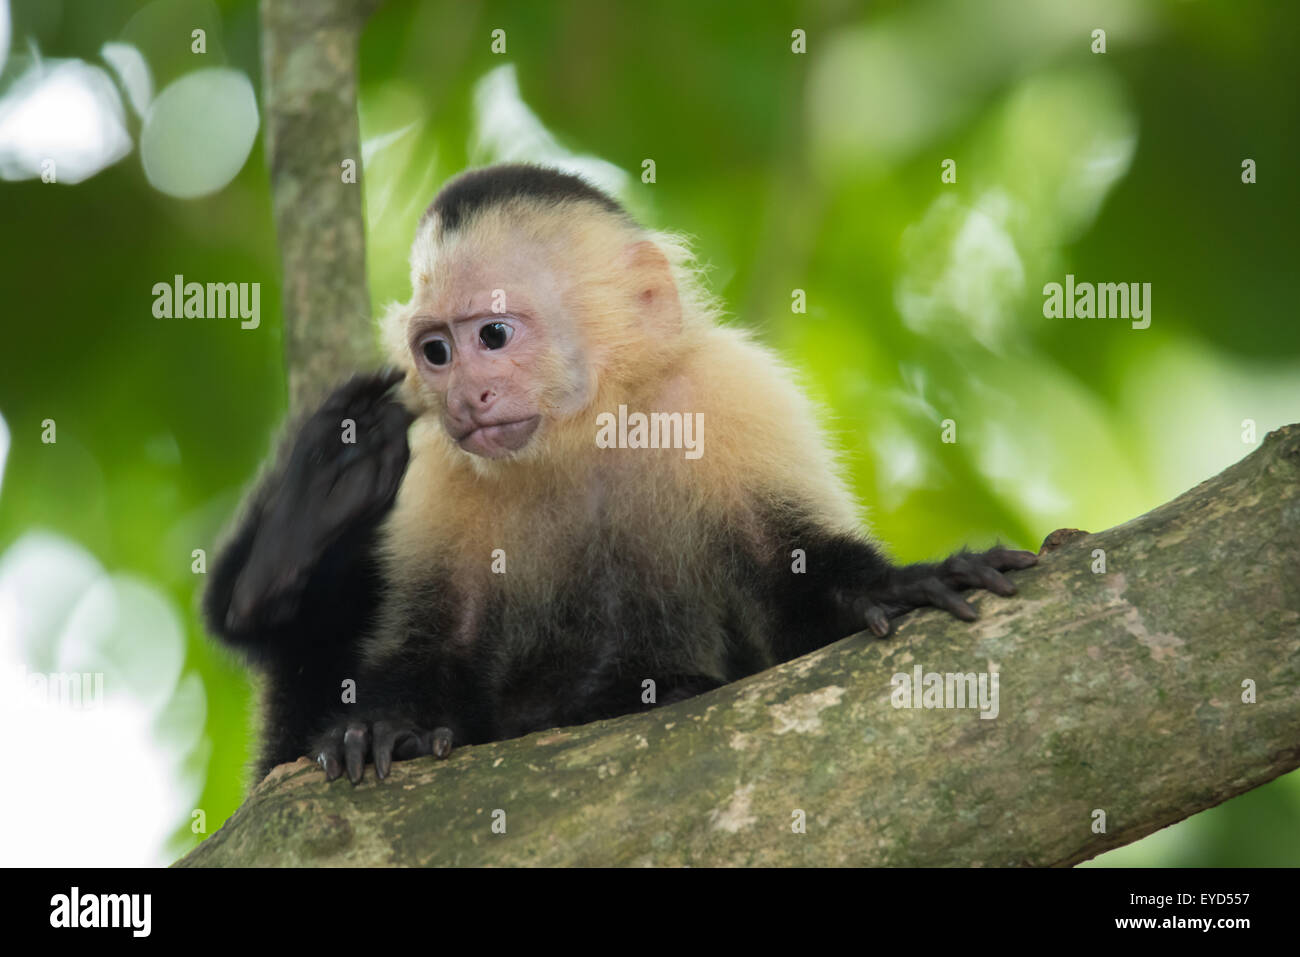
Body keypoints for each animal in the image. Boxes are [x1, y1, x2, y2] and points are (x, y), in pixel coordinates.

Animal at [204, 163, 1037, 785]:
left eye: (493, 335)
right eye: (435, 350)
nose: (466, 398)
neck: (585, 434)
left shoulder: (730, 395)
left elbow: (797, 591)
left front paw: (898, 584)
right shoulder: (440, 467)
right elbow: (434, 636)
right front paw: (387, 723)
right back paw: (296, 539)